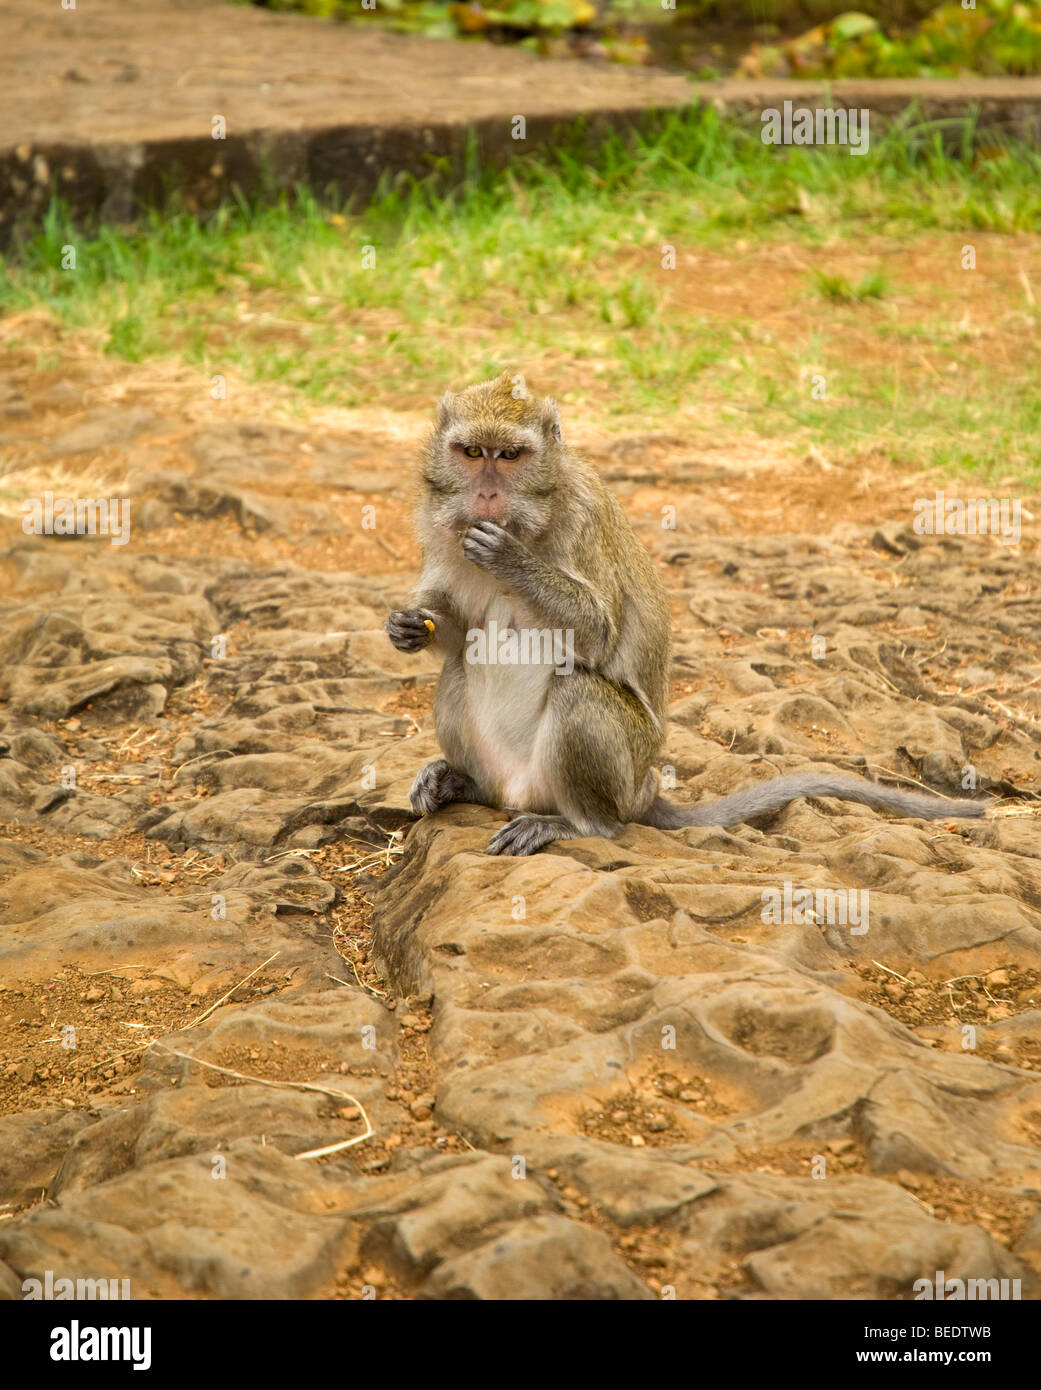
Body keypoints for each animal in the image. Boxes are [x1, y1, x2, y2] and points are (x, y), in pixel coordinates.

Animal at [385, 371, 990, 856]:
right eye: (471, 453)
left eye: (510, 457)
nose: (487, 495)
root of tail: (643, 791)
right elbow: (456, 629)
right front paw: (408, 628)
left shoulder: (581, 521)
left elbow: (597, 635)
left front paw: (511, 559)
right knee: (457, 672)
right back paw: (463, 785)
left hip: (621, 777)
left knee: (581, 694)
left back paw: (579, 825)